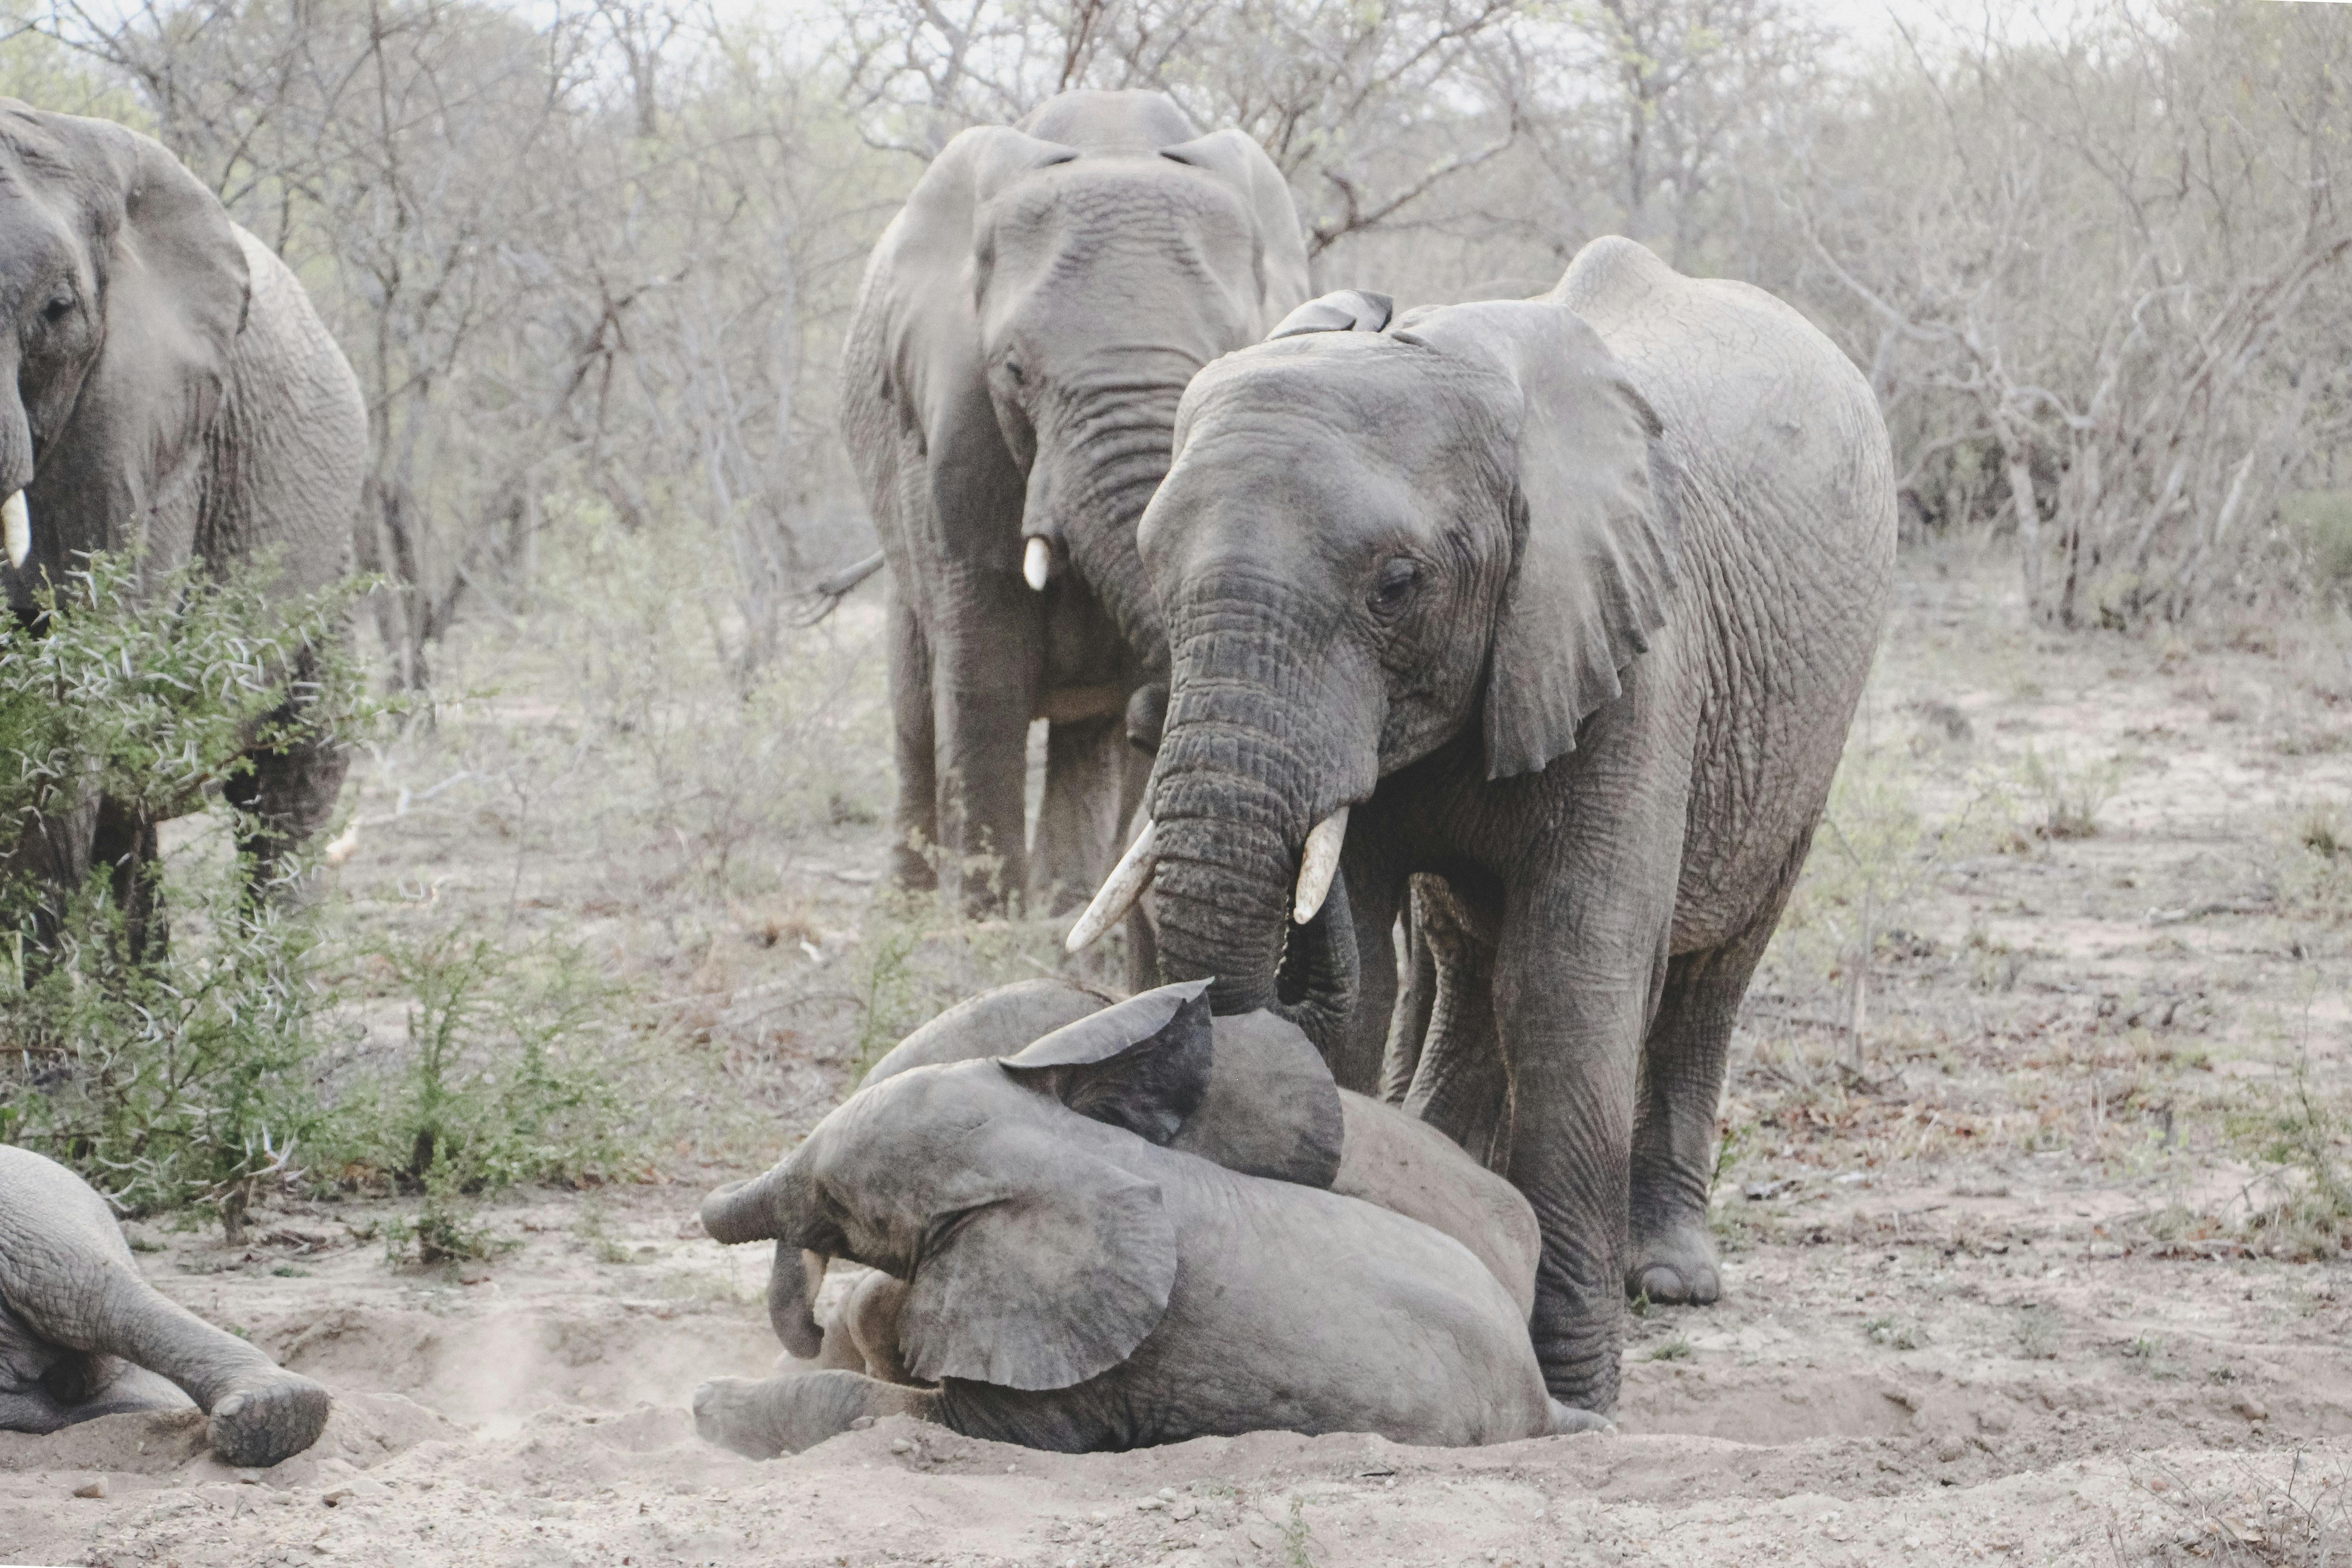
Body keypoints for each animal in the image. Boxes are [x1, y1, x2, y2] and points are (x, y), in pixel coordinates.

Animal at [692, 982, 1586, 1455]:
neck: (1082, 1156)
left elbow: (920, 1417)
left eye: (838, 1202)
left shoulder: (1085, 1370)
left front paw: (710, 1408)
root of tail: (1543, 1400)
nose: (805, 1327)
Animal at [843, 88, 1309, 928]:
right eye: (1013, 371)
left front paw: (1055, 920)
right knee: (915, 713)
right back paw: (911, 911)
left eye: (1233, 354)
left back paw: (1062, 901)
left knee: (1082, 740)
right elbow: (982, 678)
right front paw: (985, 924)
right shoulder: (950, 436)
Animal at [1065, 237, 1896, 1417]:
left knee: (1708, 969)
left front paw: (1573, 1392)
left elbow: (1570, 978)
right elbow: (1374, 987)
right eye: (1150, 564)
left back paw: (1669, 1275)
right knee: (1464, 958)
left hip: (1807, 728)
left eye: (1396, 585)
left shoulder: (1640, 645)